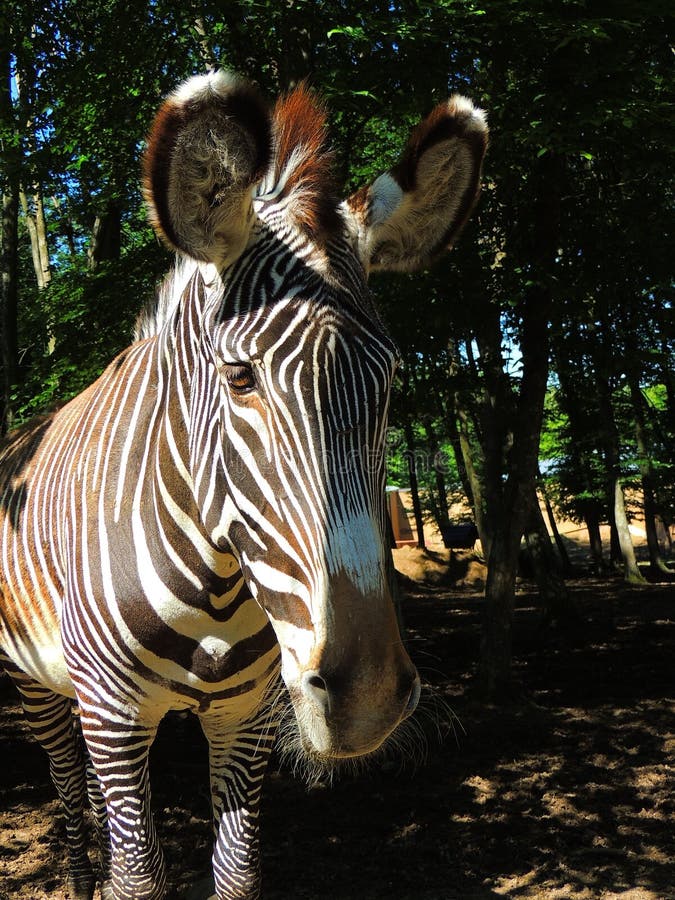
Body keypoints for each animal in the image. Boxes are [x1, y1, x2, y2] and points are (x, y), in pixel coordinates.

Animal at [0, 70, 487, 899]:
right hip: (38, 683)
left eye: (389, 380)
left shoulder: (244, 717)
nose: (365, 700)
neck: (217, 590)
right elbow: (139, 878)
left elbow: (236, 875)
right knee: (65, 779)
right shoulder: (115, 713)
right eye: (239, 378)